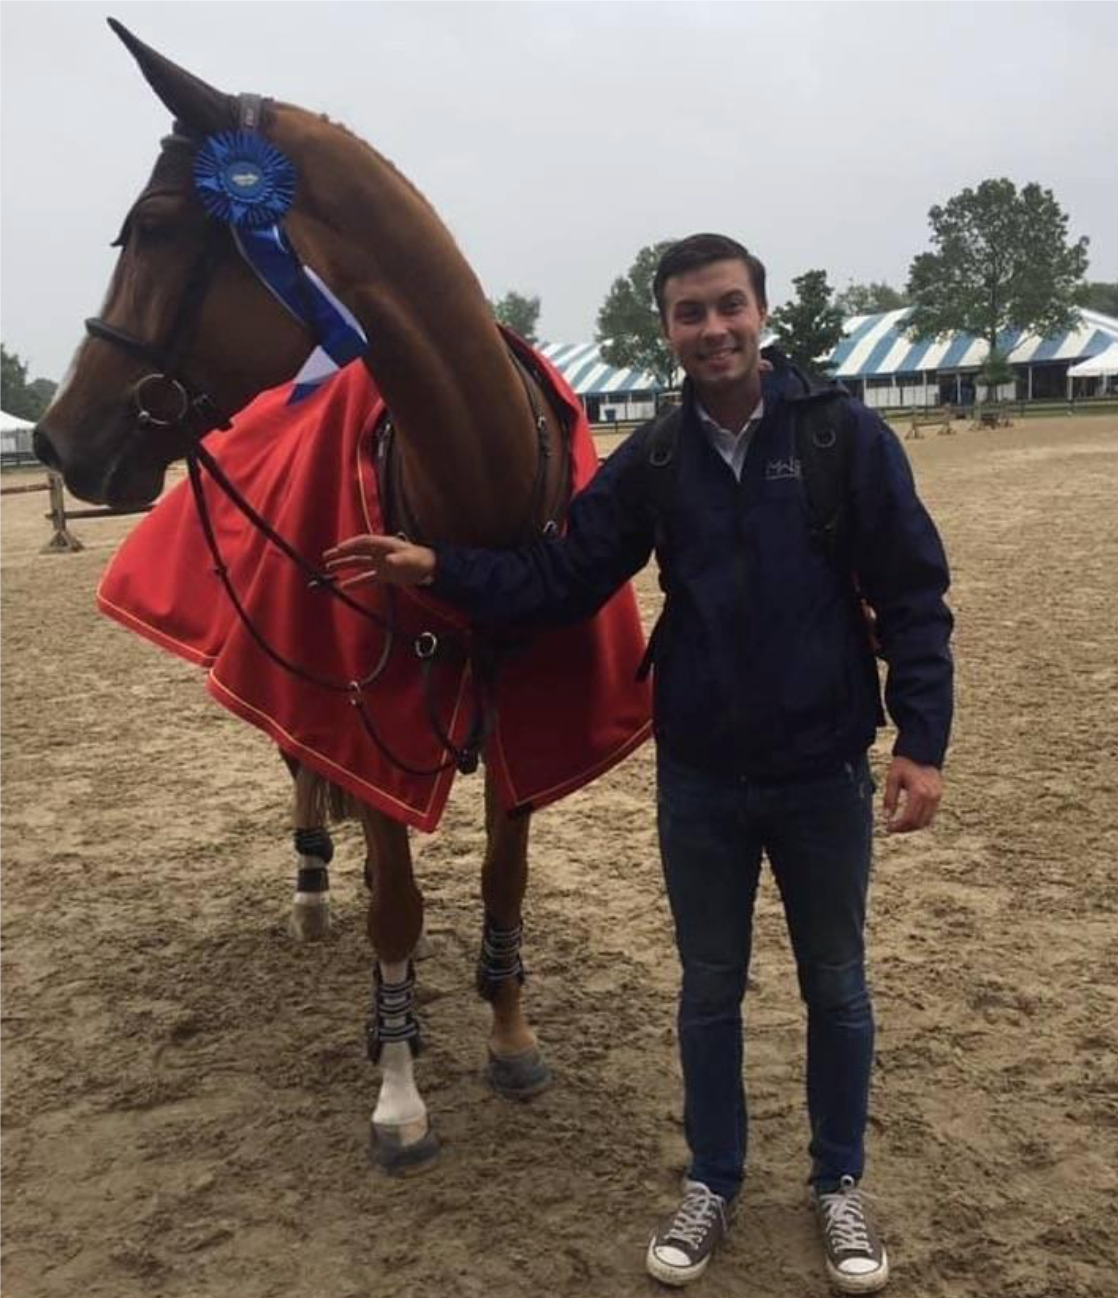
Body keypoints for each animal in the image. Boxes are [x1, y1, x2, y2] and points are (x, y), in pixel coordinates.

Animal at [33, 20, 650, 1175]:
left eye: (152, 228)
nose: (57, 439)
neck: (473, 488)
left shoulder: (518, 708)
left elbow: (502, 879)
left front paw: (509, 1031)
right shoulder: (369, 712)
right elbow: (398, 905)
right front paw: (399, 1090)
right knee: (304, 774)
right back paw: (318, 888)